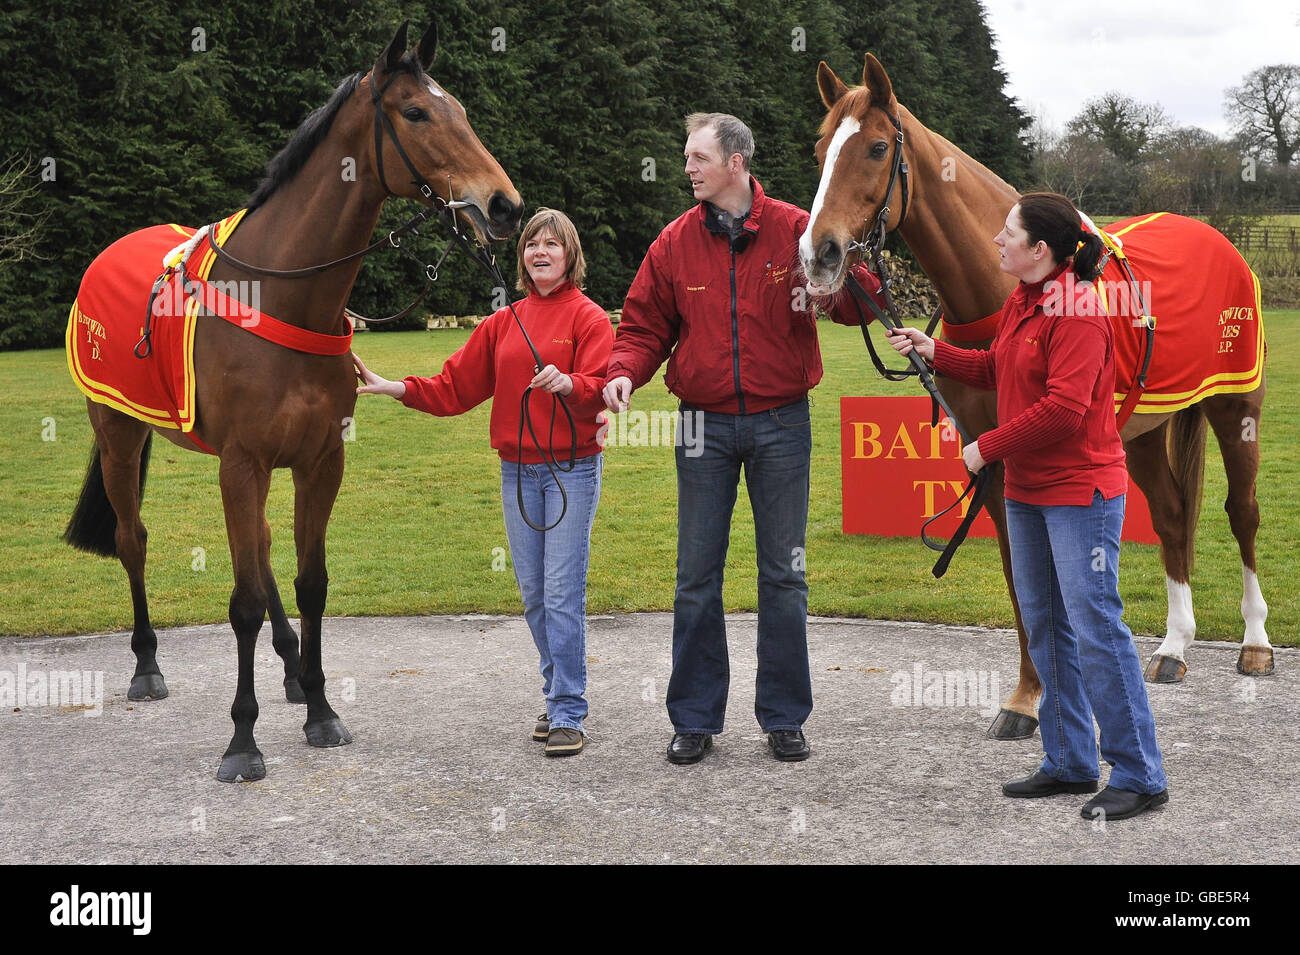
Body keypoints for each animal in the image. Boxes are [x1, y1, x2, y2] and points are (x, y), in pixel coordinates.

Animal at [63, 22, 523, 781]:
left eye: (458, 108)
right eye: (417, 113)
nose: (504, 206)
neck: (283, 294)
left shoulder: (317, 459)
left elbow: (309, 580)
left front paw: (319, 704)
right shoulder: (242, 462)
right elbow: (243, 600)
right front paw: (242, 740)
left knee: (263, 550)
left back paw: (288, 669)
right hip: (121, 437)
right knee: (134, 540)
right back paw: (147, 664)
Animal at [800, 54, 1272, 740]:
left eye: (878, 147)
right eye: (819, 152)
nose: (819, 255)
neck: (1006, 295)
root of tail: (1217, 240)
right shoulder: (995, 464)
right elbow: (1020, 575)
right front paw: (1029, 697)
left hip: (1236, 408)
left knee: (1243, 512)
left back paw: (1256, 642)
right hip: (1144, 433)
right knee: (1172, 515)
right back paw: (1174, 647)